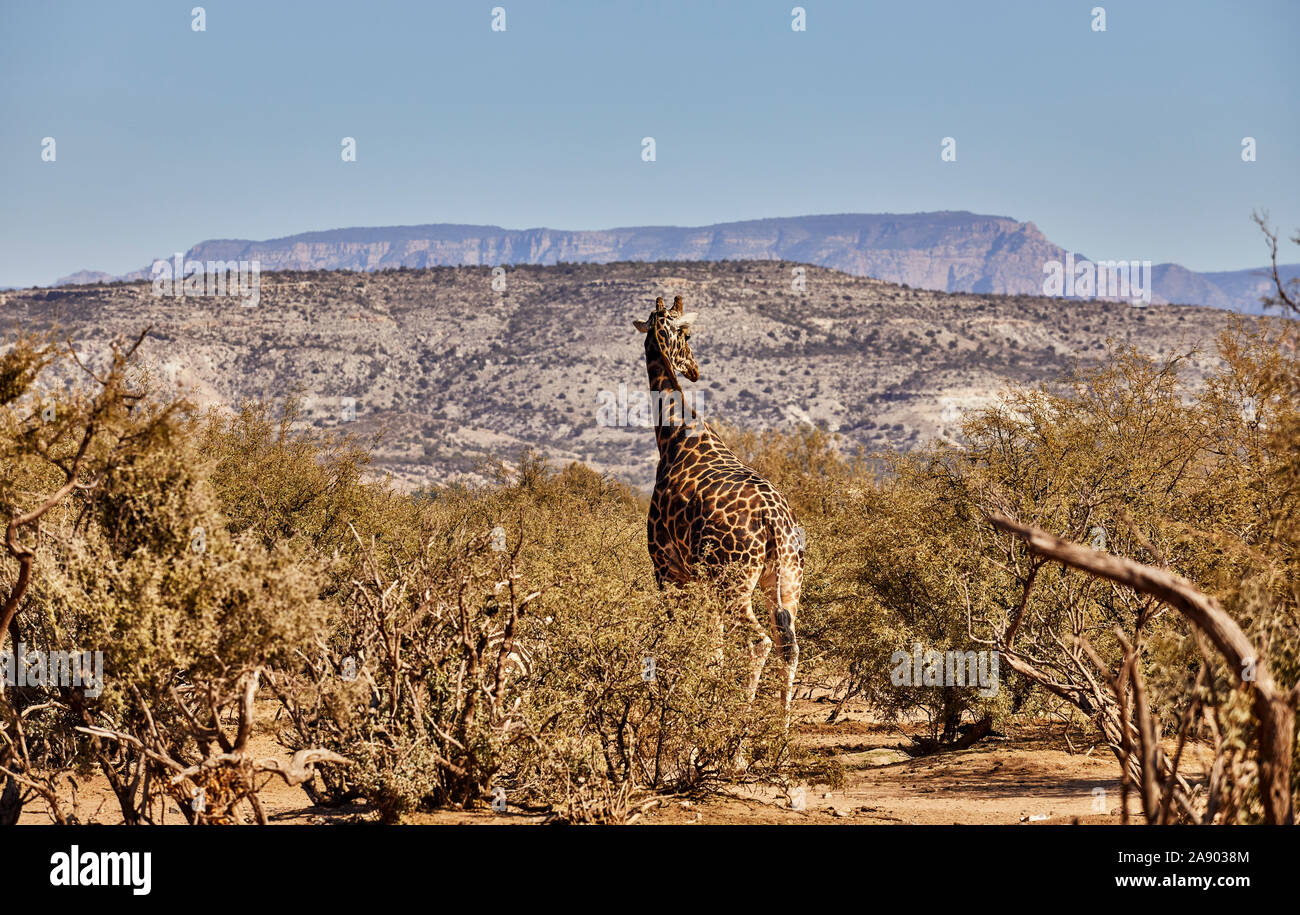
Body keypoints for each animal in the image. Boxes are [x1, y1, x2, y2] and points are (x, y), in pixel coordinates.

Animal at [633, 294, 803, 713]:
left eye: (688, 334)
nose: (694, 370)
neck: (673, 435)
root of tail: (774, 522)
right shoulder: (701, 581)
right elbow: (714, 650)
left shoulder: (667, 568)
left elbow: (683, 639)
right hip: (787, 582)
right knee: (788, 646)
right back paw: (780, 729)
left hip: (734, 584)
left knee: (758, 641)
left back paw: (737, 724)